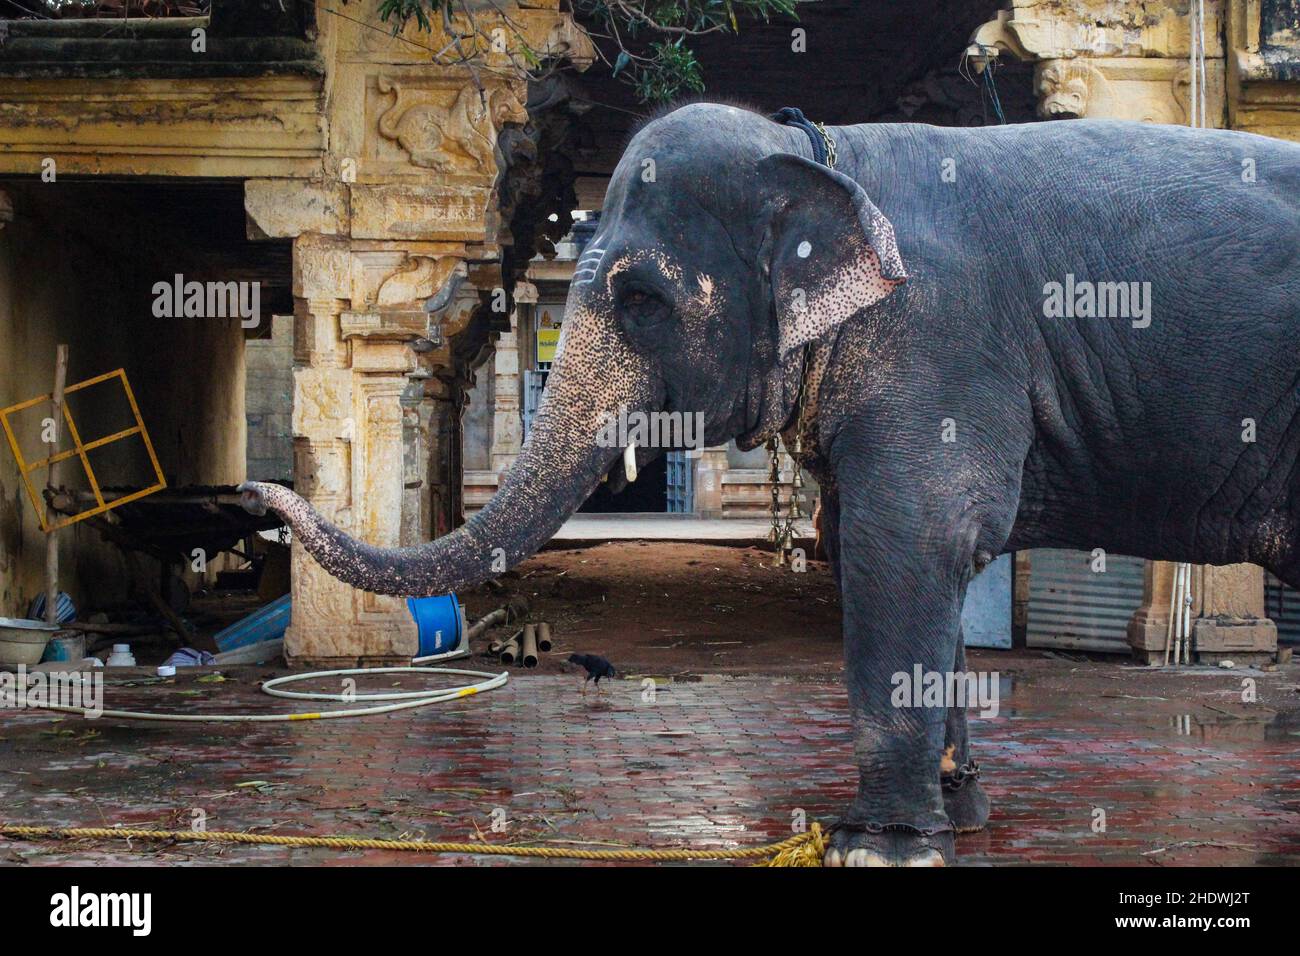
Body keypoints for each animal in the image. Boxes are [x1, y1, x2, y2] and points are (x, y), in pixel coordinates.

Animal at [241, 102, 1300, 866]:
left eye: (641, 299)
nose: (257, 499)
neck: (824, 153)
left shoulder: (937, 348)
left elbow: (907, 546)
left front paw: (877, 850)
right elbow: (926, 562)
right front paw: (956, 819)